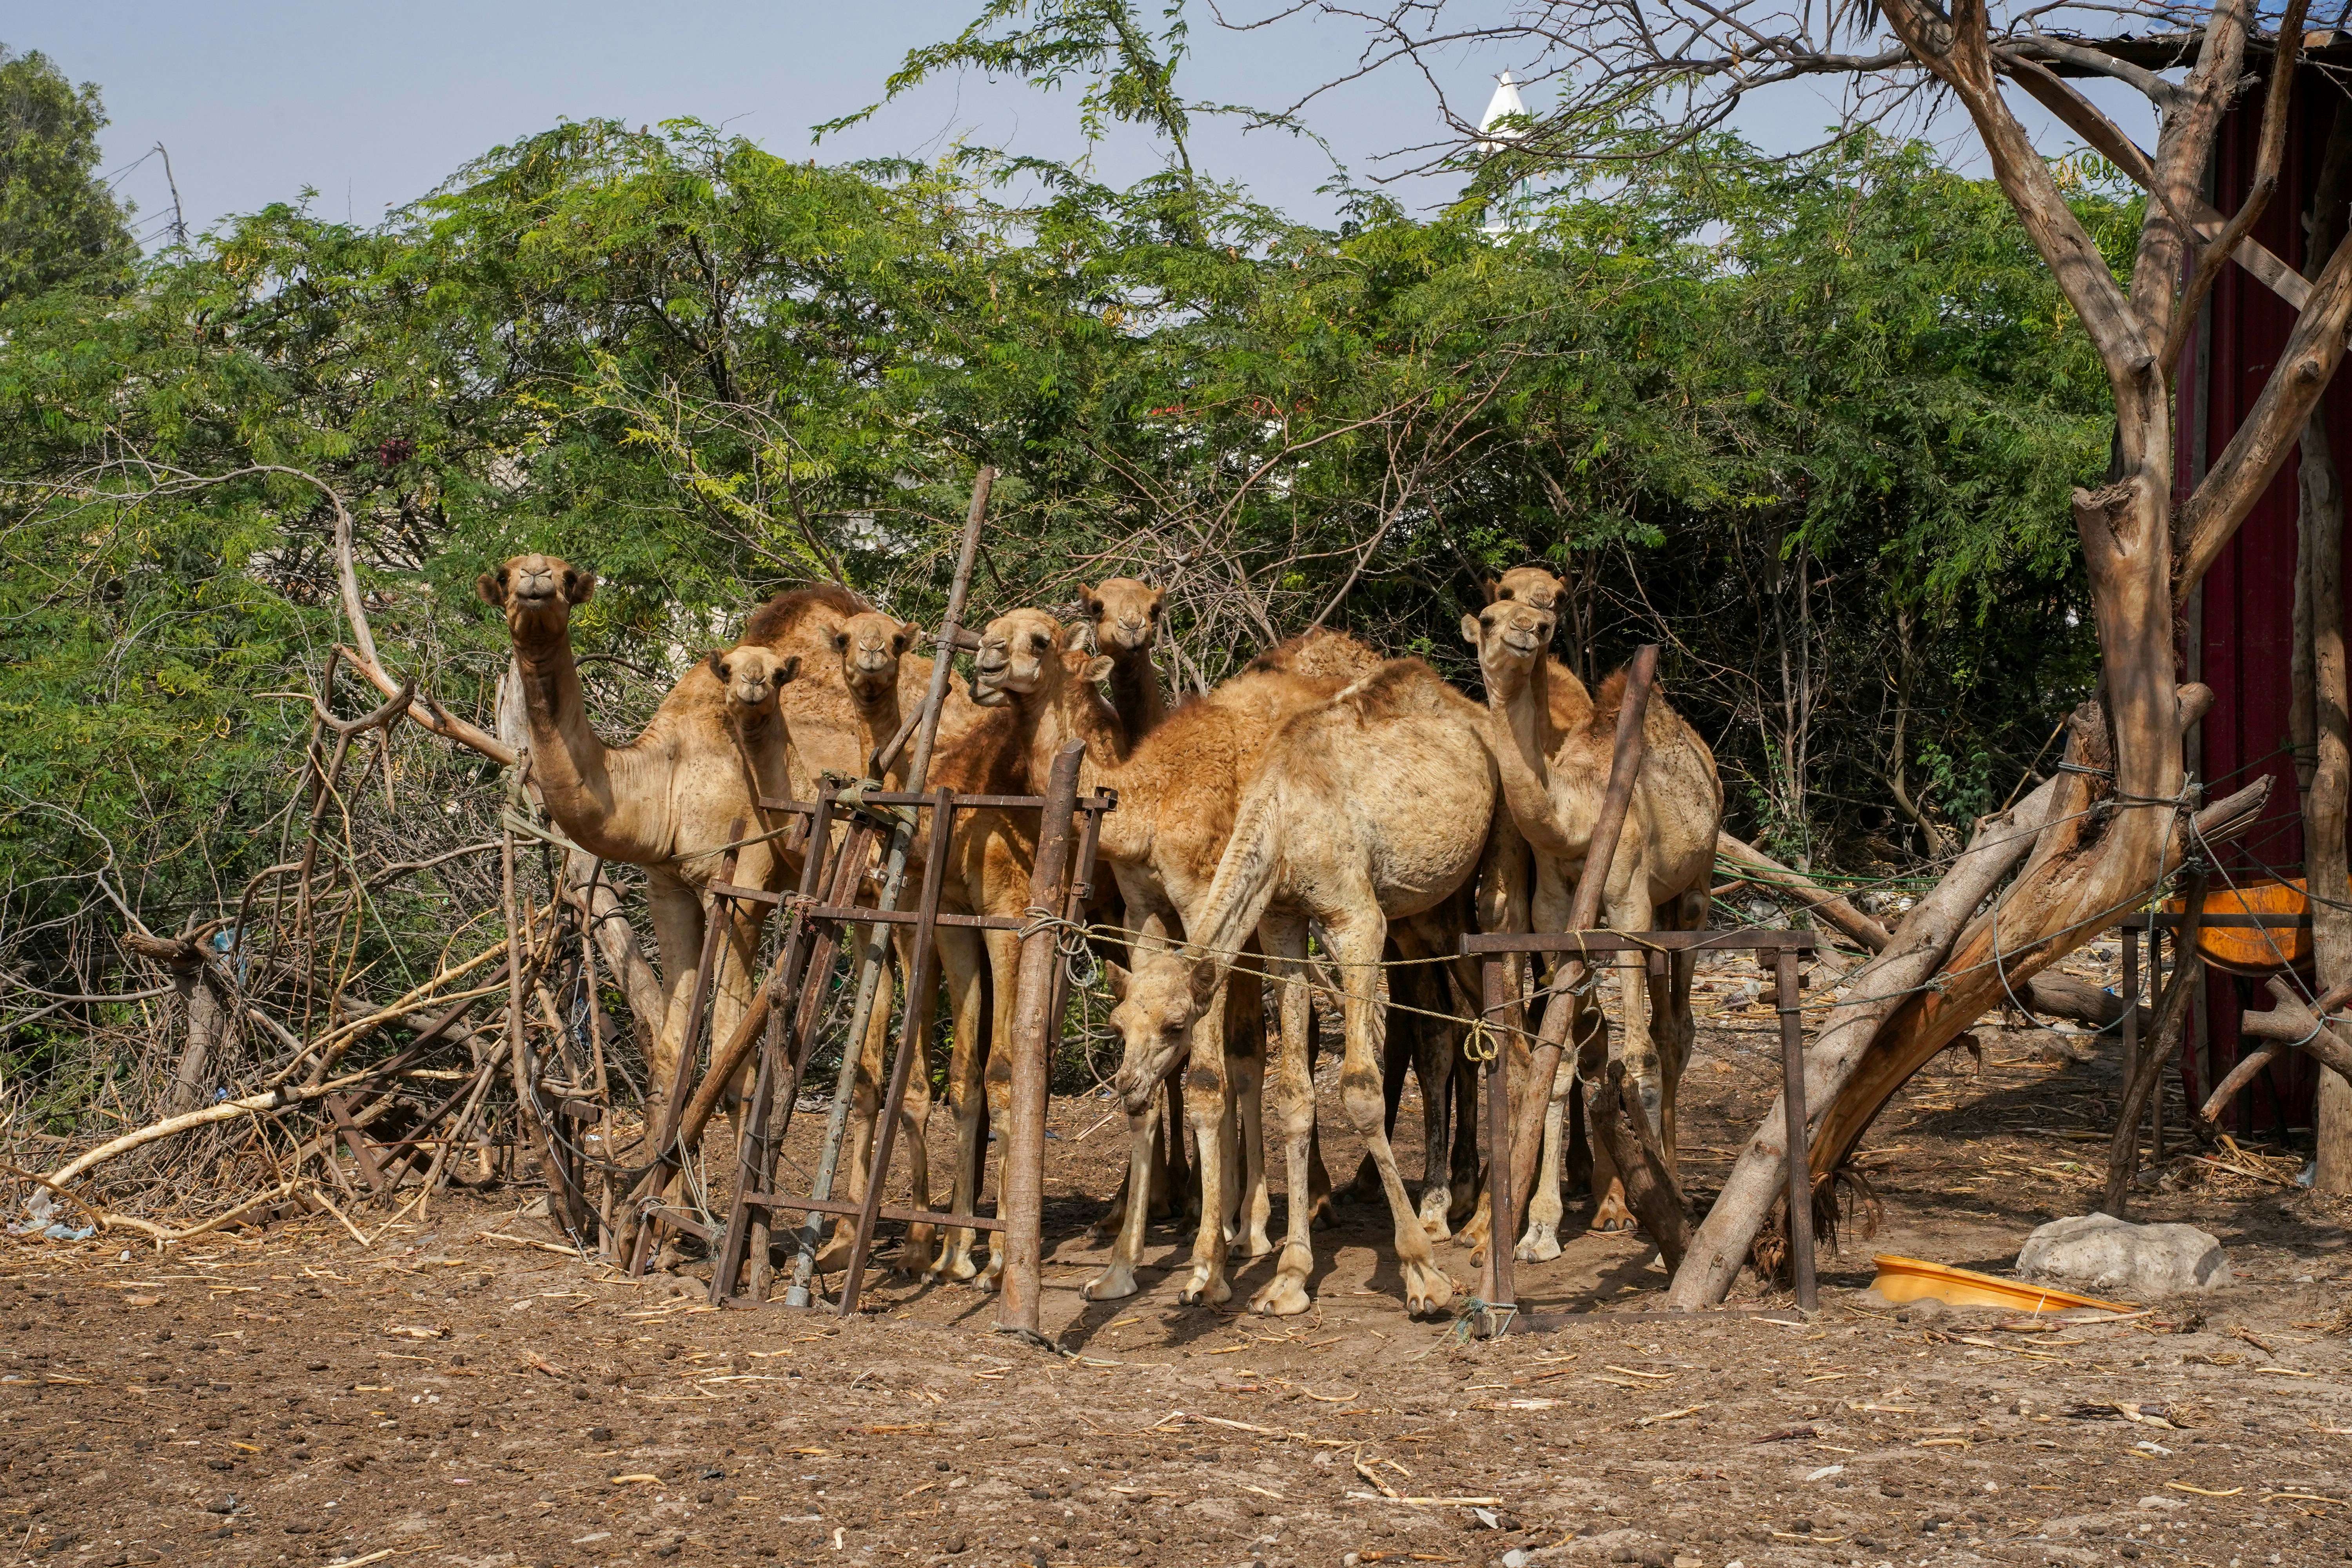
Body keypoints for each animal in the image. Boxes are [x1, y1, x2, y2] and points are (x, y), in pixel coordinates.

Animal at [1462, 565, 1723, 1252]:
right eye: (1492, 614)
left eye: (1552, 604)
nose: (1529, 631)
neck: (1574, 815)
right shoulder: (1555, 913)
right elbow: (1556, 1057)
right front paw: (1537, 1230)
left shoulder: (1628, 901)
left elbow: (1638, 1056)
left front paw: (1651, 1207)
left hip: (1693, 888)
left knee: (1674, 1031)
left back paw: (1675, 1187)